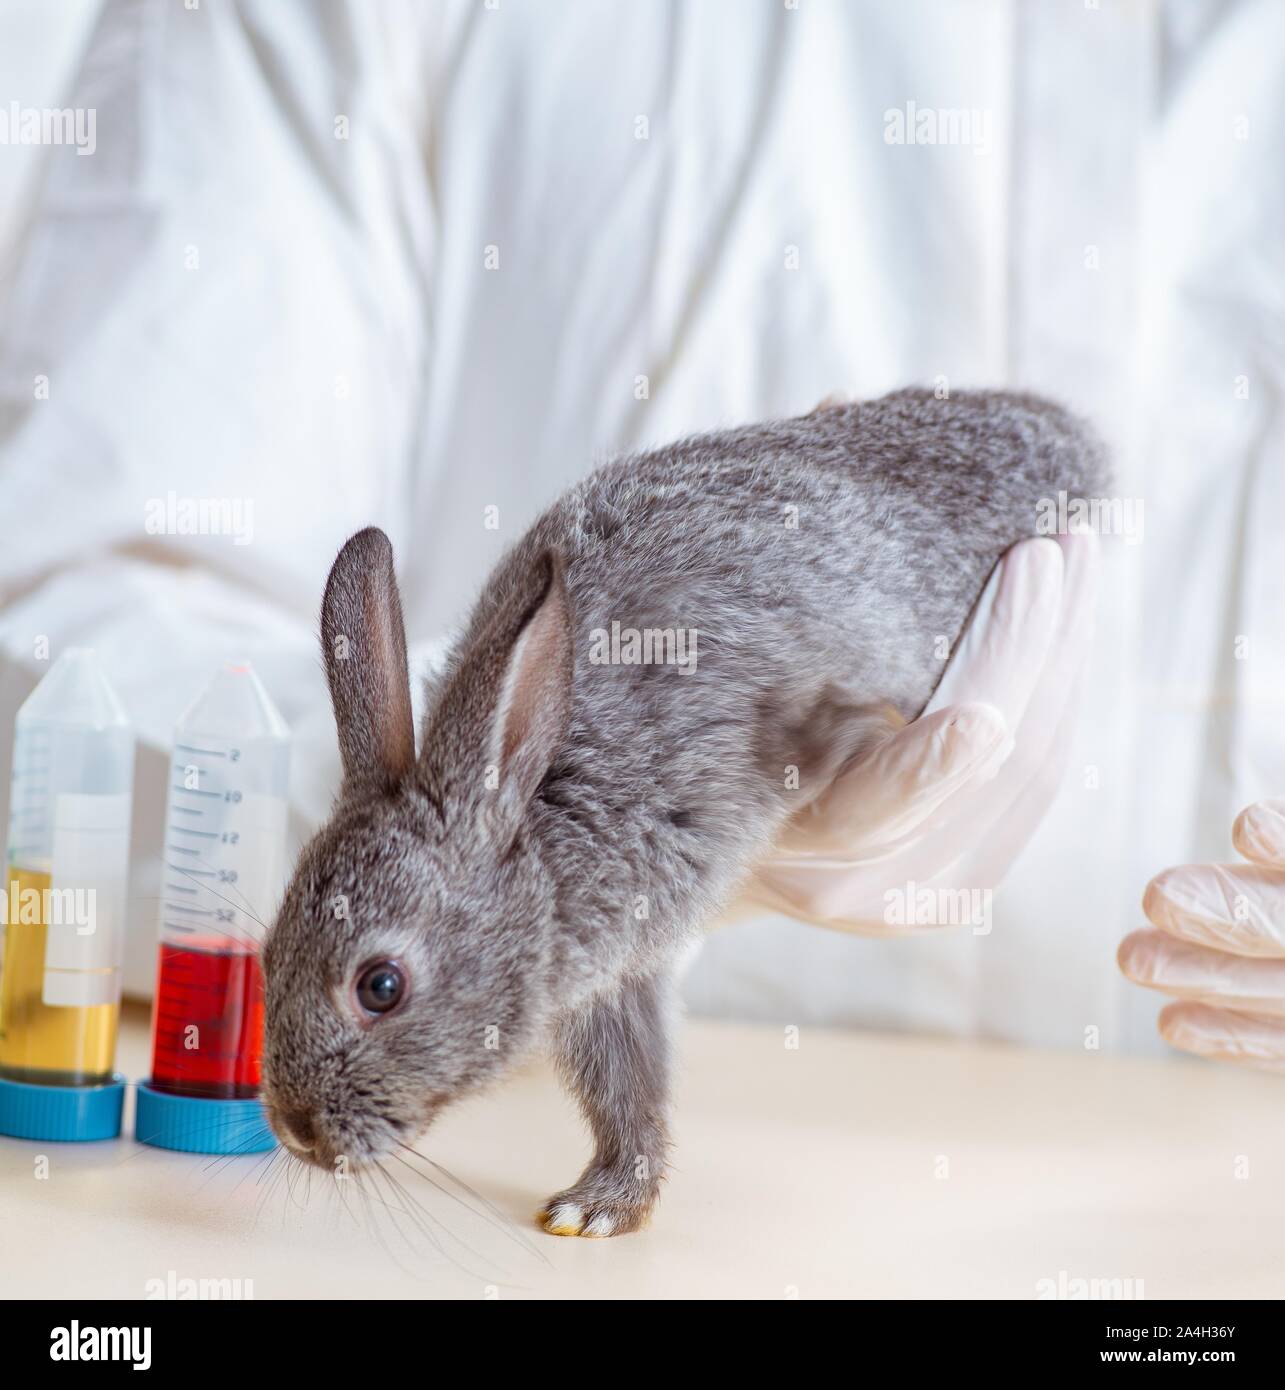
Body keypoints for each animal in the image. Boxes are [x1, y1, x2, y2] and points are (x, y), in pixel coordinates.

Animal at [260, 387, 1108, 1237]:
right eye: (268, 956)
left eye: (380, 986)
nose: (295, 1131)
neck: (539, 814)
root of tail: (1073, 433)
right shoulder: (617, 970)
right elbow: (627, 1091)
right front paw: (599, 1205)